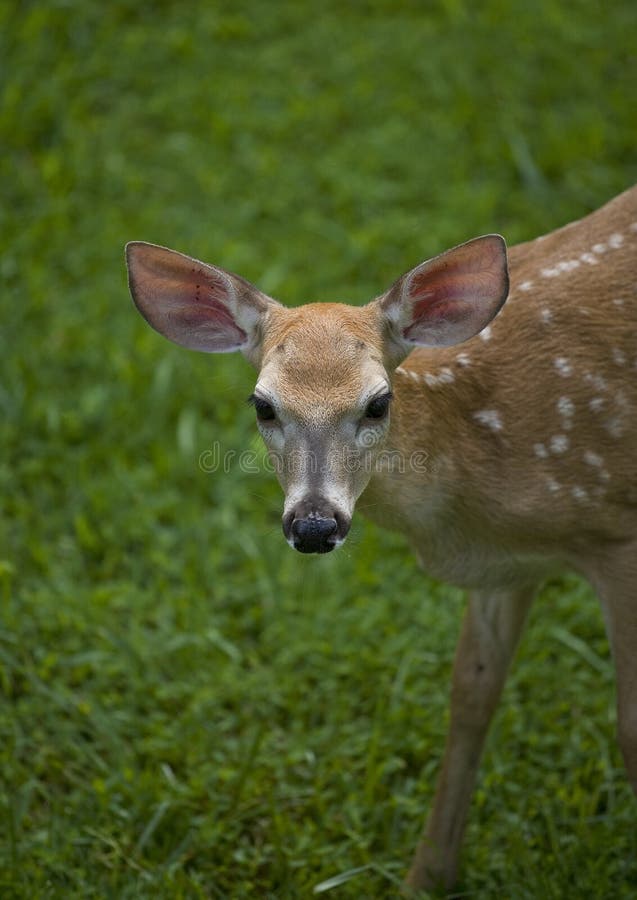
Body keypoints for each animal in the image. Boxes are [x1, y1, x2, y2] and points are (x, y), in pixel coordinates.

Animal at [125, 185, 637, 892]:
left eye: (378, 402)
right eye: (263, 405)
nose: (315, 524)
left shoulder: (618, 533)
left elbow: (630, 730)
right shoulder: (509, 565)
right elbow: (471, 697)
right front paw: (428, 875)